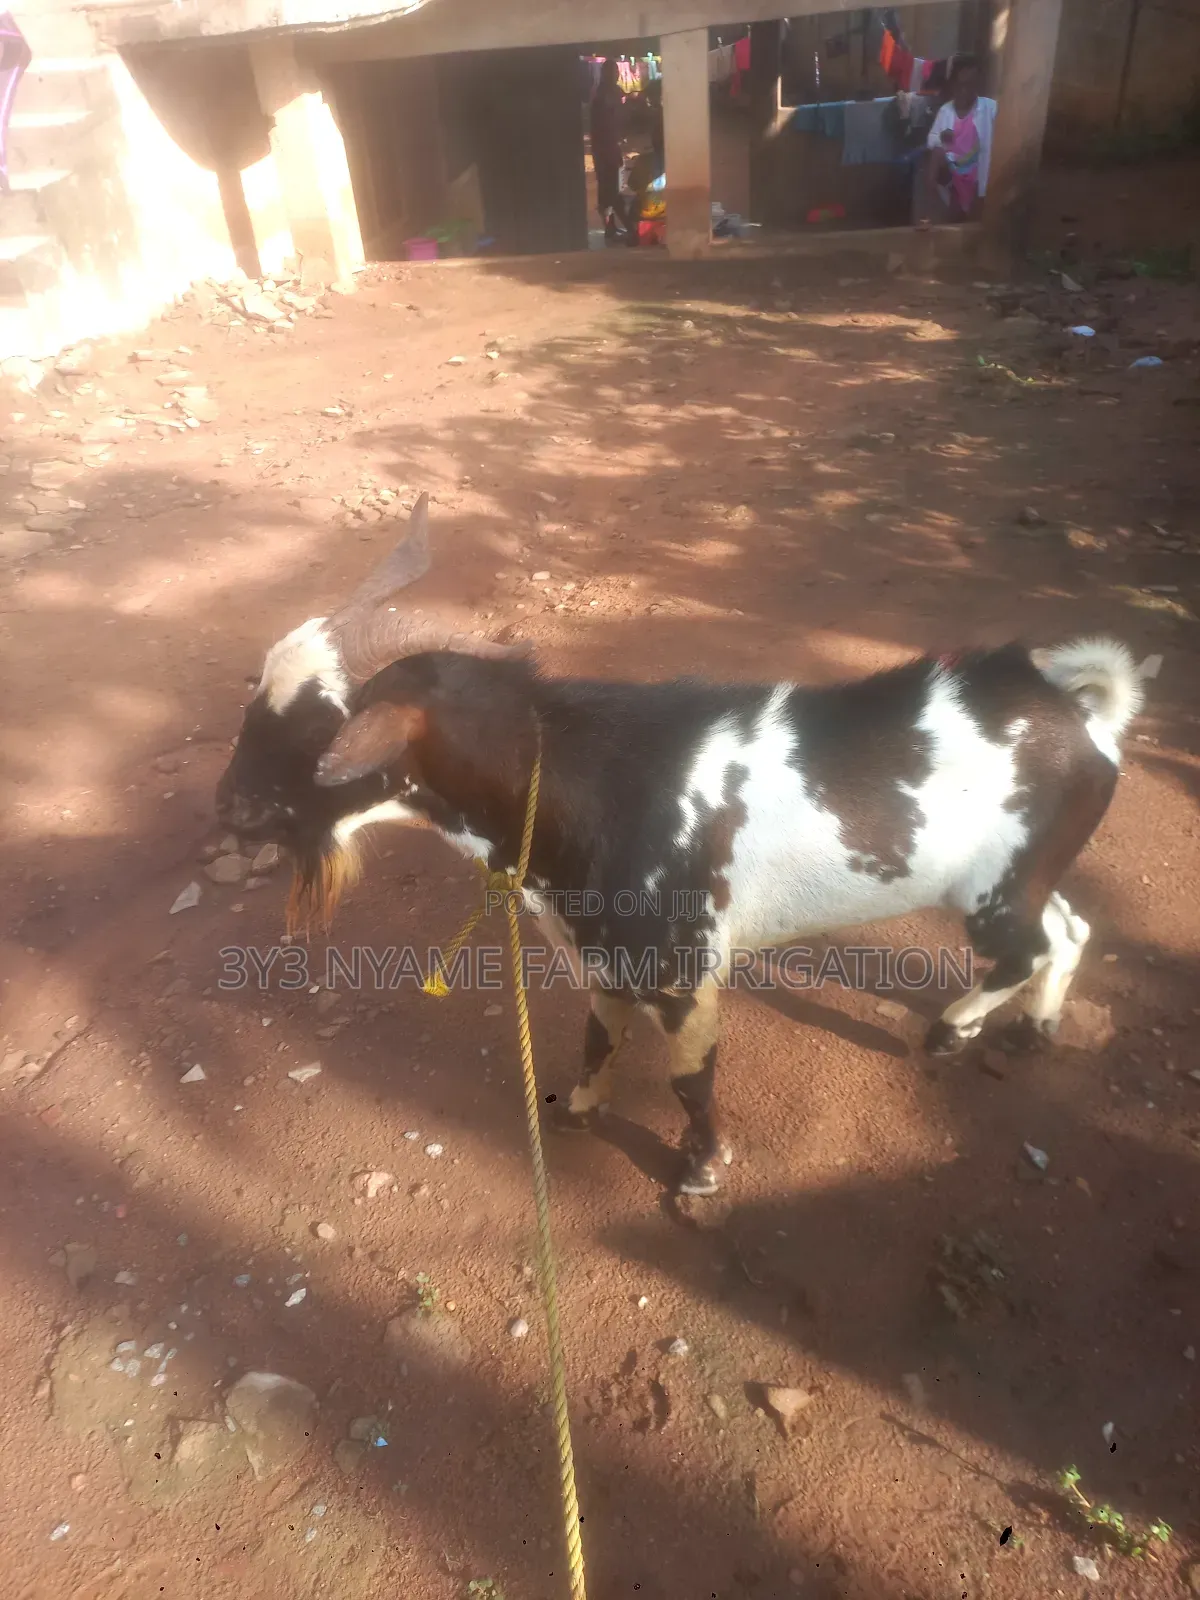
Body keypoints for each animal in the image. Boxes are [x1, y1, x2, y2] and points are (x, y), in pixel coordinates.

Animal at [218, 501, 1144, 1198]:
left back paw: (952, 1032)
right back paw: (1033, 1033)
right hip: (1023, 875)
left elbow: (688, 1080)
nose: (227, 806)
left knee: (1025, 947)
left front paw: (700, 1169)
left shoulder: (683, 972)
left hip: (994, 893)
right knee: (1066, 930)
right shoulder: (606, 964)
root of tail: (1081, 712)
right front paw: (576, 1110)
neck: (585, 784)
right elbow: (598, 1043)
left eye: (314, 726)